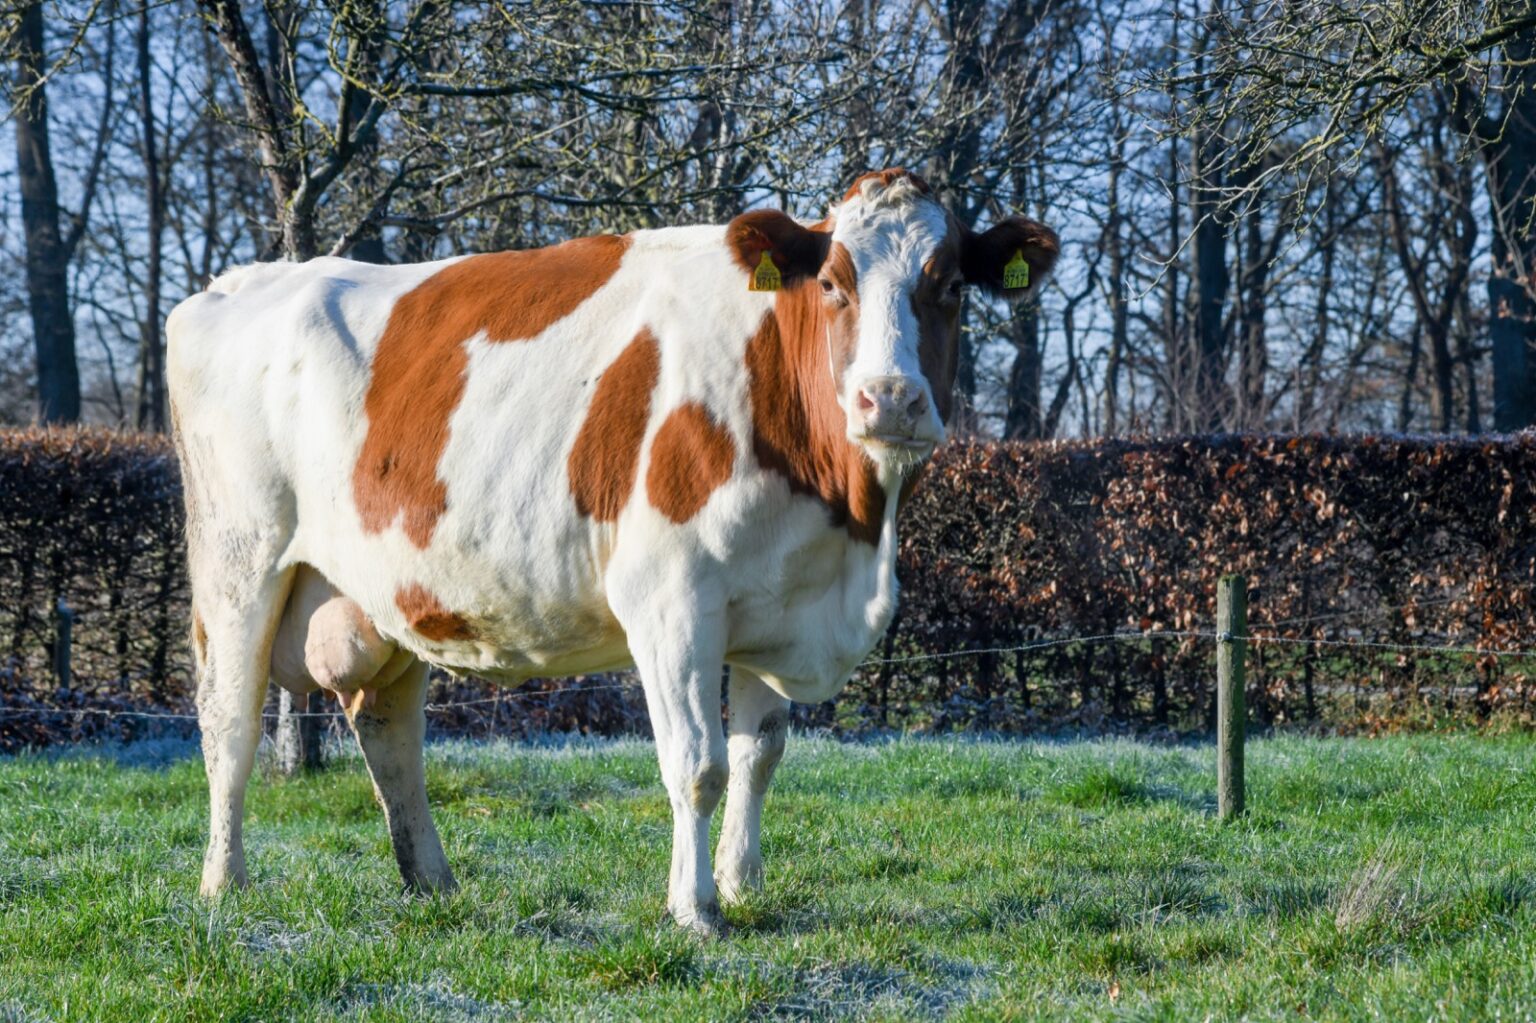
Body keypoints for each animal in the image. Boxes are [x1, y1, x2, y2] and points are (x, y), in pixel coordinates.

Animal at [167, 168, 1059, 935]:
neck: (849, 524)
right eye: (834, 283)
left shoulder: (775, 600)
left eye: (951, 286)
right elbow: (698, 764)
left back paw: (434, 883)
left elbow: (760, 755)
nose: (891, 399)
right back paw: (223, 883)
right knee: (229, 724)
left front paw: (741, 882)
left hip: (385, 589)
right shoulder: (671, 600)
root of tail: (237, 283)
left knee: (387, 729)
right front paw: (695, 909)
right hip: (239, 566)